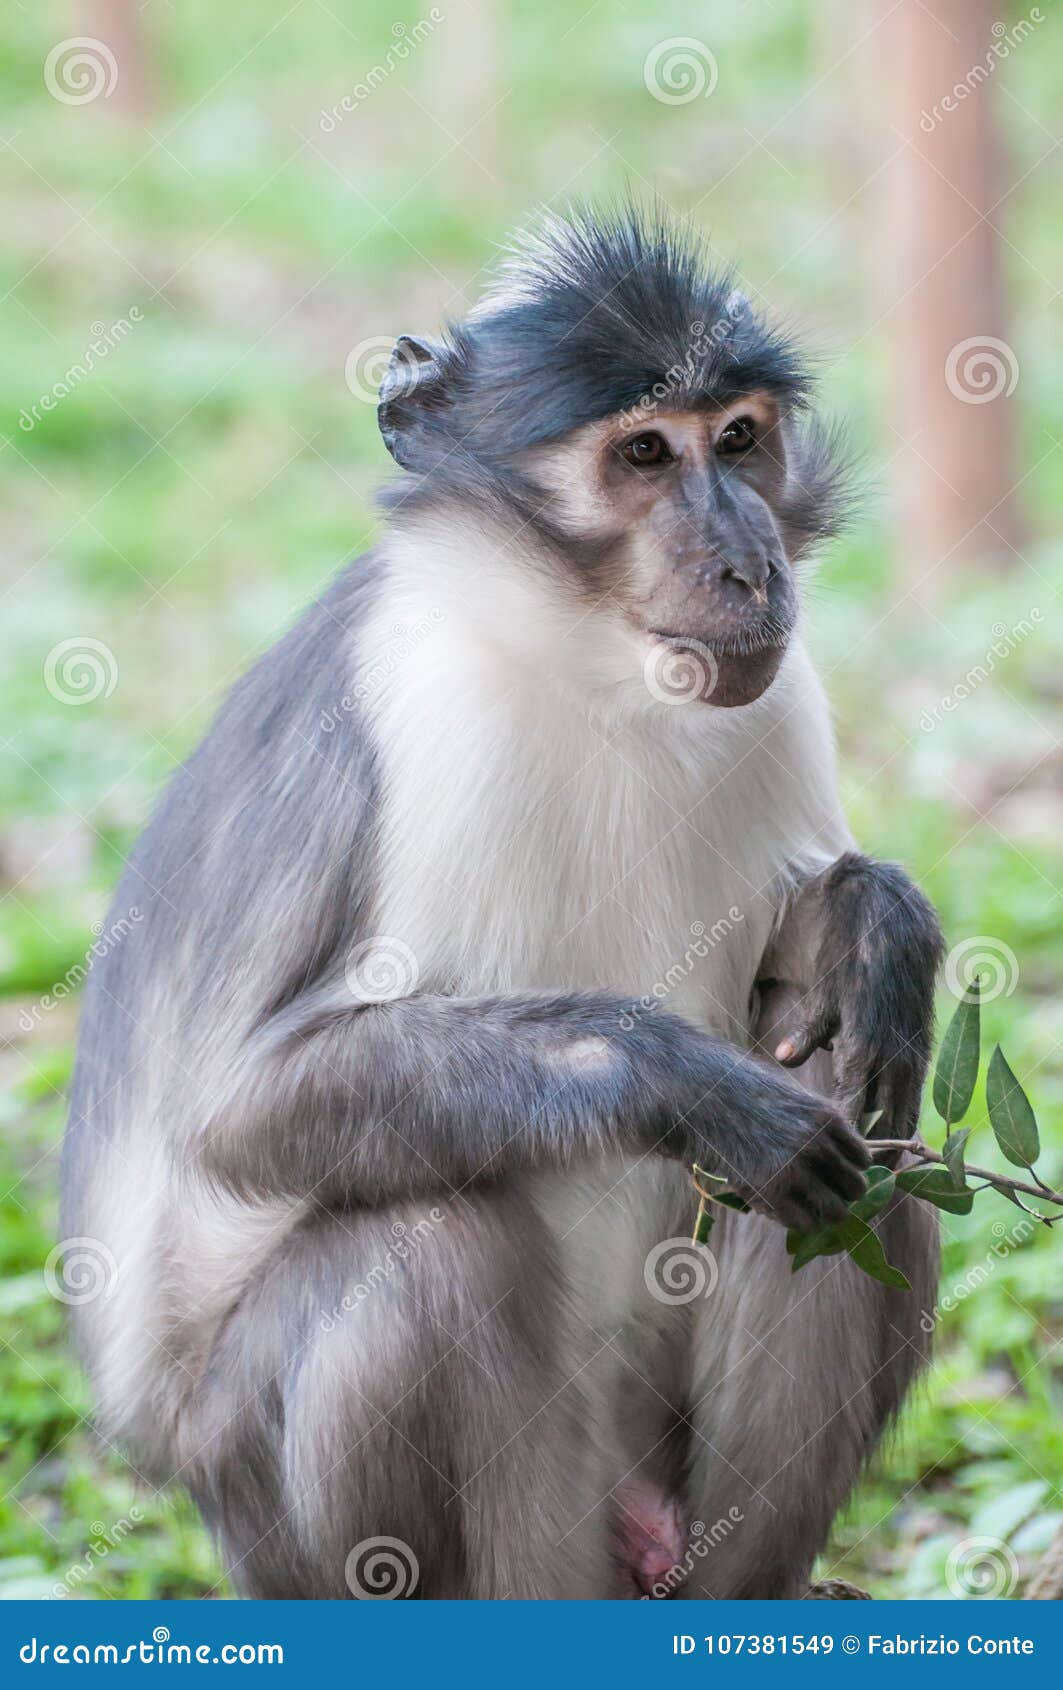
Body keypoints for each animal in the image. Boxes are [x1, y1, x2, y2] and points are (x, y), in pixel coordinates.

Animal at [62, 209, 943, 1601]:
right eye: (643, 454)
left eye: (738, 439)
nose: (748, 564)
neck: (597, 671)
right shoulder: (399, 703)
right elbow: (235, 1111)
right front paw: (694, 1088)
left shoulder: (775, 688)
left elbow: (815, 1000)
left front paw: (875, 931)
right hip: (262, 1495)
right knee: (429, 1246)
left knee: (874, 1153)